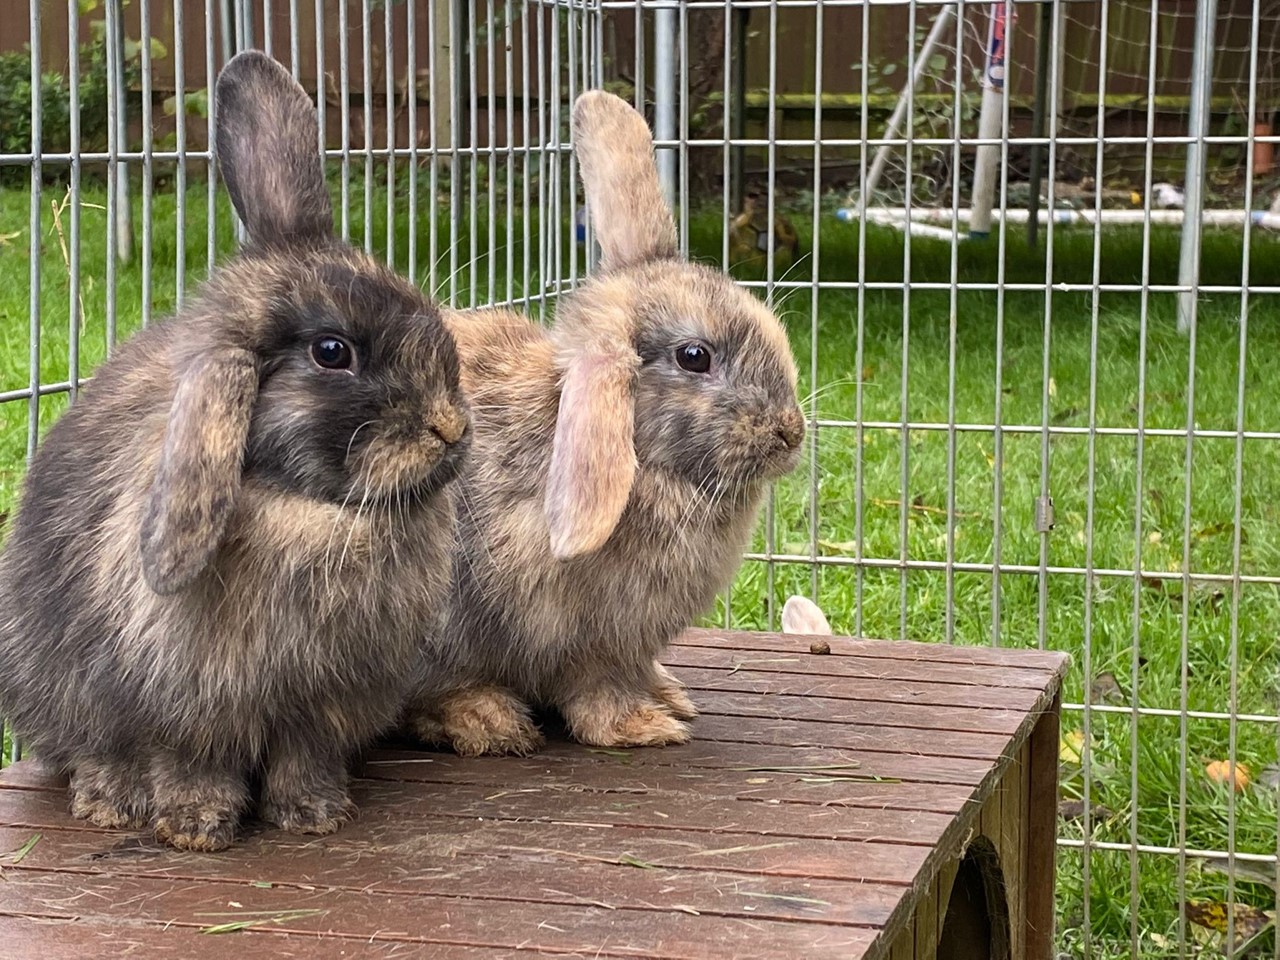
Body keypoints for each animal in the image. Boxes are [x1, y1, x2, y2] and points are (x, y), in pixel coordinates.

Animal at [0, 50, 469, 851]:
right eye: (332, 352)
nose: (450, 427)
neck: (303, 506)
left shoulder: (320, 707)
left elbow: (303, 759)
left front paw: (315, 816)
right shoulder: (183, 704)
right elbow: (190, 763)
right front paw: (195, 829)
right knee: (90, 749)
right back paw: (111, 802)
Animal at [402, 90, 805, 756]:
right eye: (694, 356)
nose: (790, 433)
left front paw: (669, 701)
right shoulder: (581, 644)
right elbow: (593, 692)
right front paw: (642, 727)